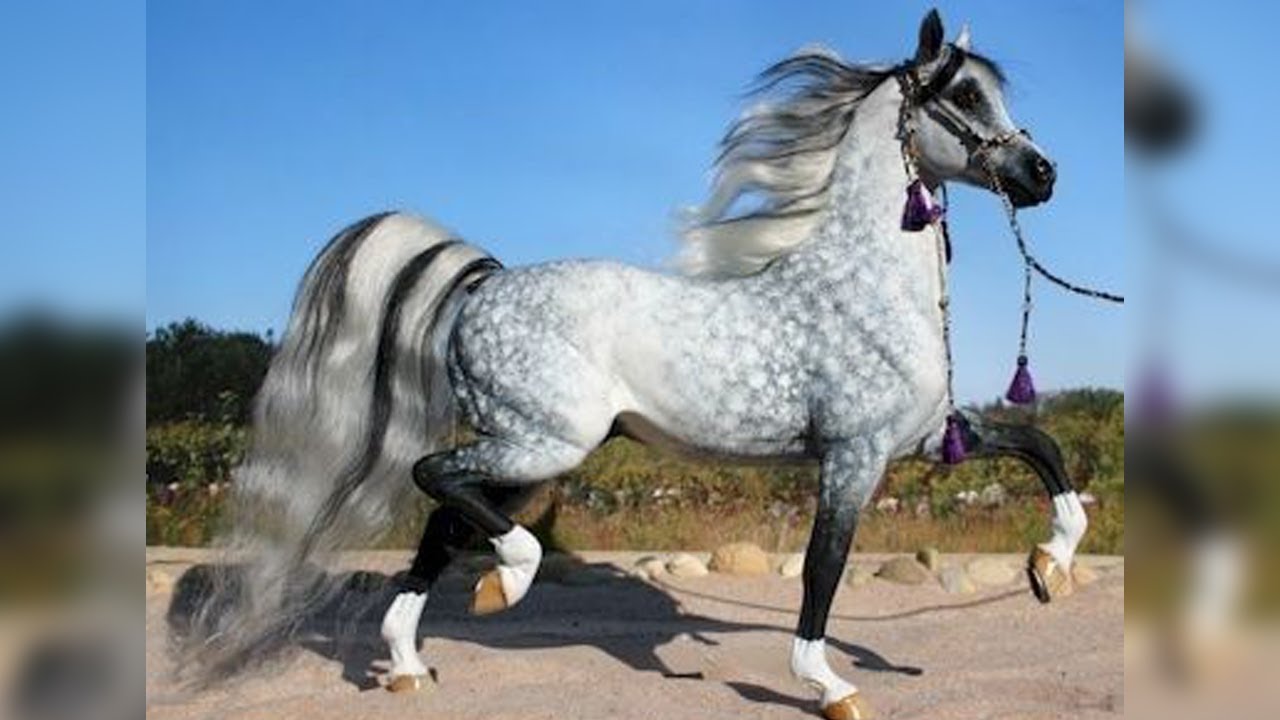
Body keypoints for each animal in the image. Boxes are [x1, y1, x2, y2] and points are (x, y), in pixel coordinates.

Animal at [179, 10, 1088, 719]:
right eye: (964, 97)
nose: (1042, 174)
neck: (857, 286)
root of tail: (485, 282)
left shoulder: (930, 437)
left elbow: (1045, 453)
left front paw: (1049, 570)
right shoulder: (852, 457)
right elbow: (821, 573)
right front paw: (830, 685)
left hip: (528, 453)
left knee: (445, 518)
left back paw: (412, 663)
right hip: (541, 443)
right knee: (435, 478)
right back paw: (507, 581)